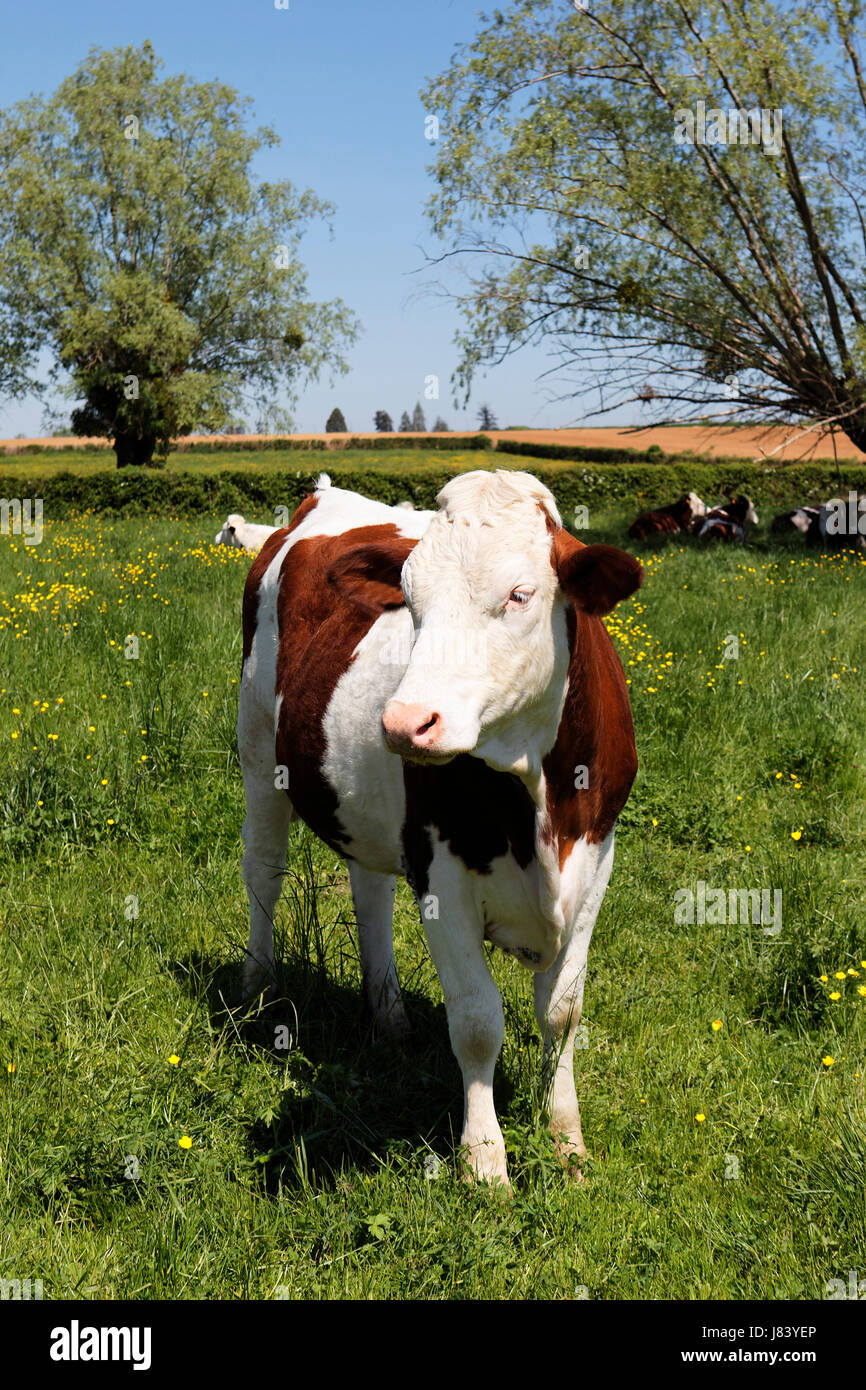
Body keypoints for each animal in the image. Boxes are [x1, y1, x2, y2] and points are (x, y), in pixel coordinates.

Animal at [237, 469, 642, 1189]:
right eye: (409, 599)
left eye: (519, 594)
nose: (405, 722)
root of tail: (322, 496)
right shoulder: (441, 875)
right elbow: (478, 1020)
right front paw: (484, 1164)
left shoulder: (596, 861)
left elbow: (562, 1012)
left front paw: (567, 1146)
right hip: (258, 748)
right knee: (264, 868)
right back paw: (259, 984)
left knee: (368, 892)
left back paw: (390, 1015)